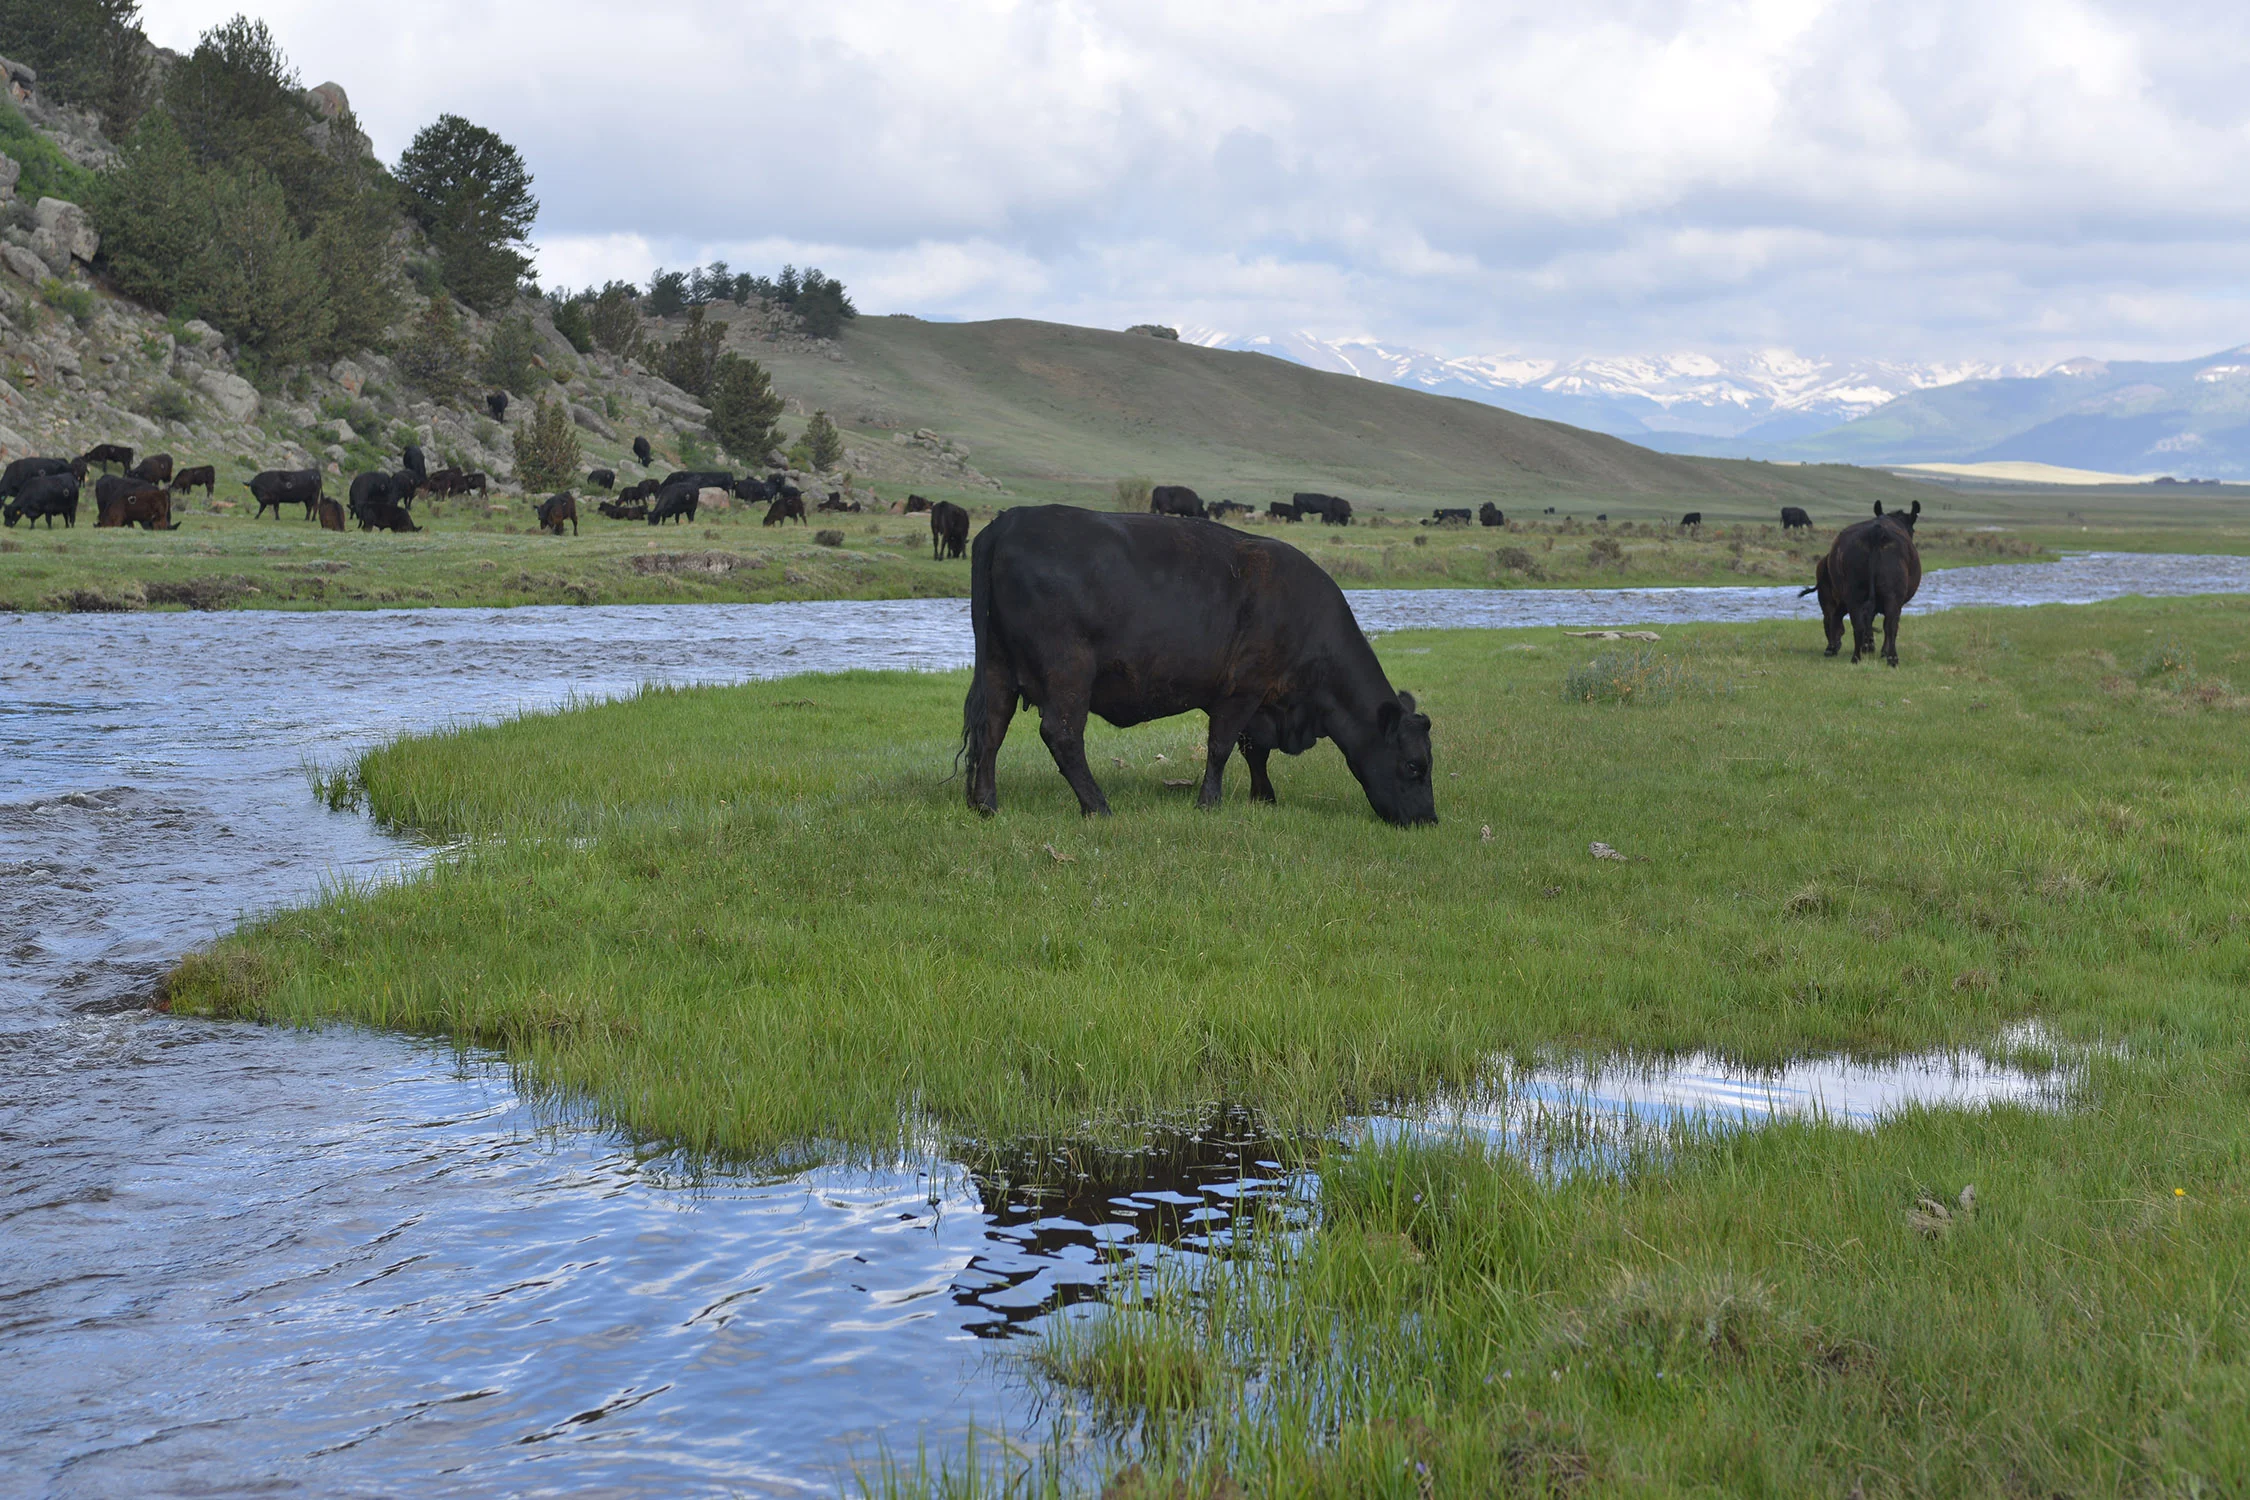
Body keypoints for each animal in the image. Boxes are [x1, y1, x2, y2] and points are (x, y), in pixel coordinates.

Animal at [961, 506, 1436, 826]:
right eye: (1415, 765)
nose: (1428, 821)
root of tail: (1011, 519)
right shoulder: (1243, 689)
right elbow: (1222, 747)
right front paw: (1210, 803)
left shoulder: (1258, 702)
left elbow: (1254, 751)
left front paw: (1264, 797)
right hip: (1067, 672)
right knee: (1061, 735)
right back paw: (1098, 806)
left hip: (998, 668)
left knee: (992, 731)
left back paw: (986, 804)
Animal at [1802, 499, 1921, 665]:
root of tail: (1876, 532)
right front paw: (1877, 649)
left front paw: (1869, 646)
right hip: (1889, 594)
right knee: (1889, 624)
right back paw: (1891, 658)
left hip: (1854, 594)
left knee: (1852, 623)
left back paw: (1852, 656)